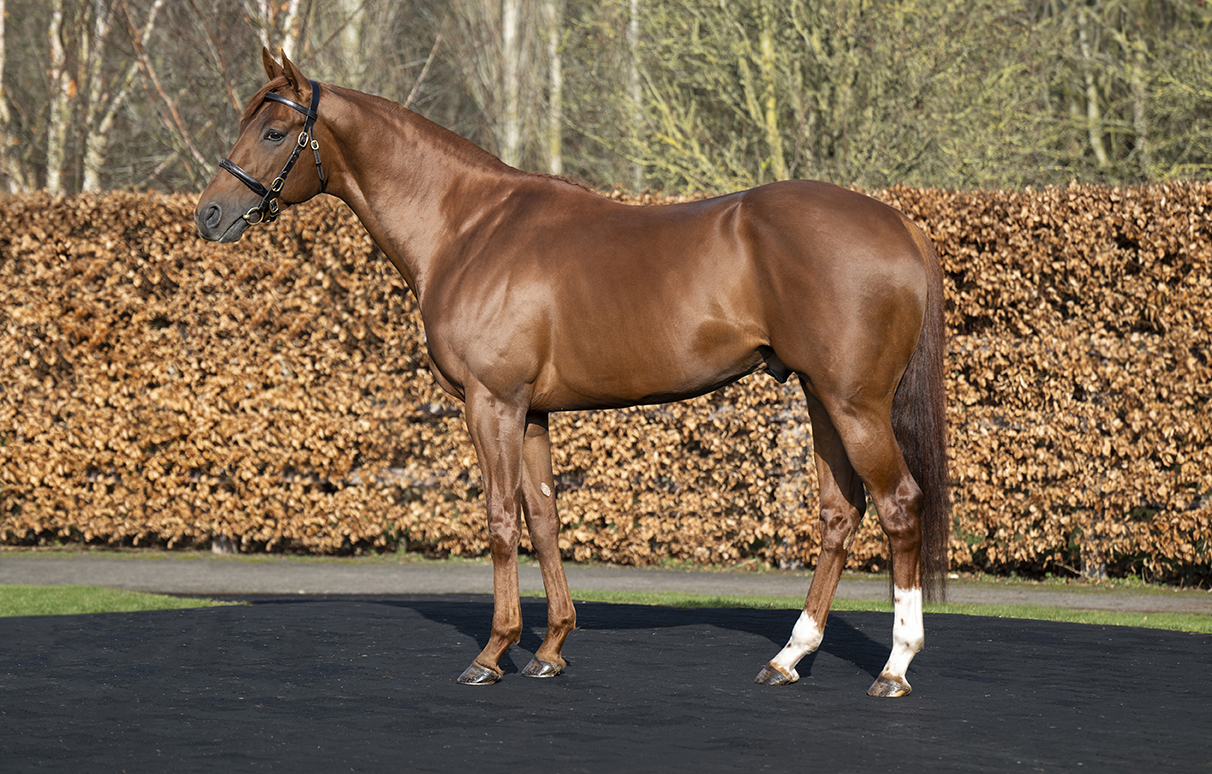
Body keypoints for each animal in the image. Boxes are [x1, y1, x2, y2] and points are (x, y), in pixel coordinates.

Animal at [196, 49, 950, 697]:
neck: (467, 227)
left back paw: (896, 665)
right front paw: (551, 649)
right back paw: (789, 657)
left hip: (855, 405)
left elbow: (501, 520)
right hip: (822, 400)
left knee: (900, 506)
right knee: (839, 514)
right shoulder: (530, 411)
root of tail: (901, 226)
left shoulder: (491, 403)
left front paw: (493, 653)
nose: (209, 214)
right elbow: (544, 517)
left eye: (273, 130)